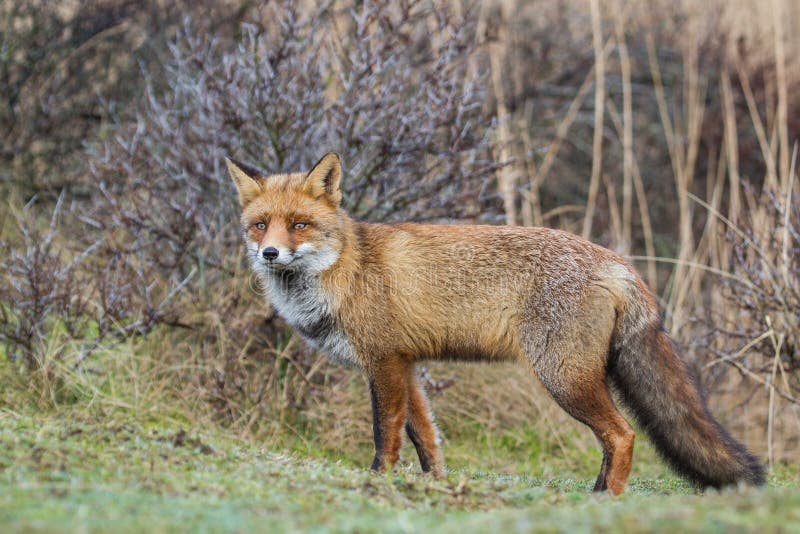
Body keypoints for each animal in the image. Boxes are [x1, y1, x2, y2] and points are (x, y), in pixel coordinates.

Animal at [226, 152, 765, 495]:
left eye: (299, 225)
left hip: (563, 377)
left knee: (623, 435)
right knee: (615, 438)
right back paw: (594, 491)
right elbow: (426, 436)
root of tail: (617, 261)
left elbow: (387, 431)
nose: (270, 253)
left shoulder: (383, 362)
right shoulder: (407, 364)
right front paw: (437, 486)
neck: (344, 270)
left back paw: (606, 498)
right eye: (260, 225)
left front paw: (377, 480)